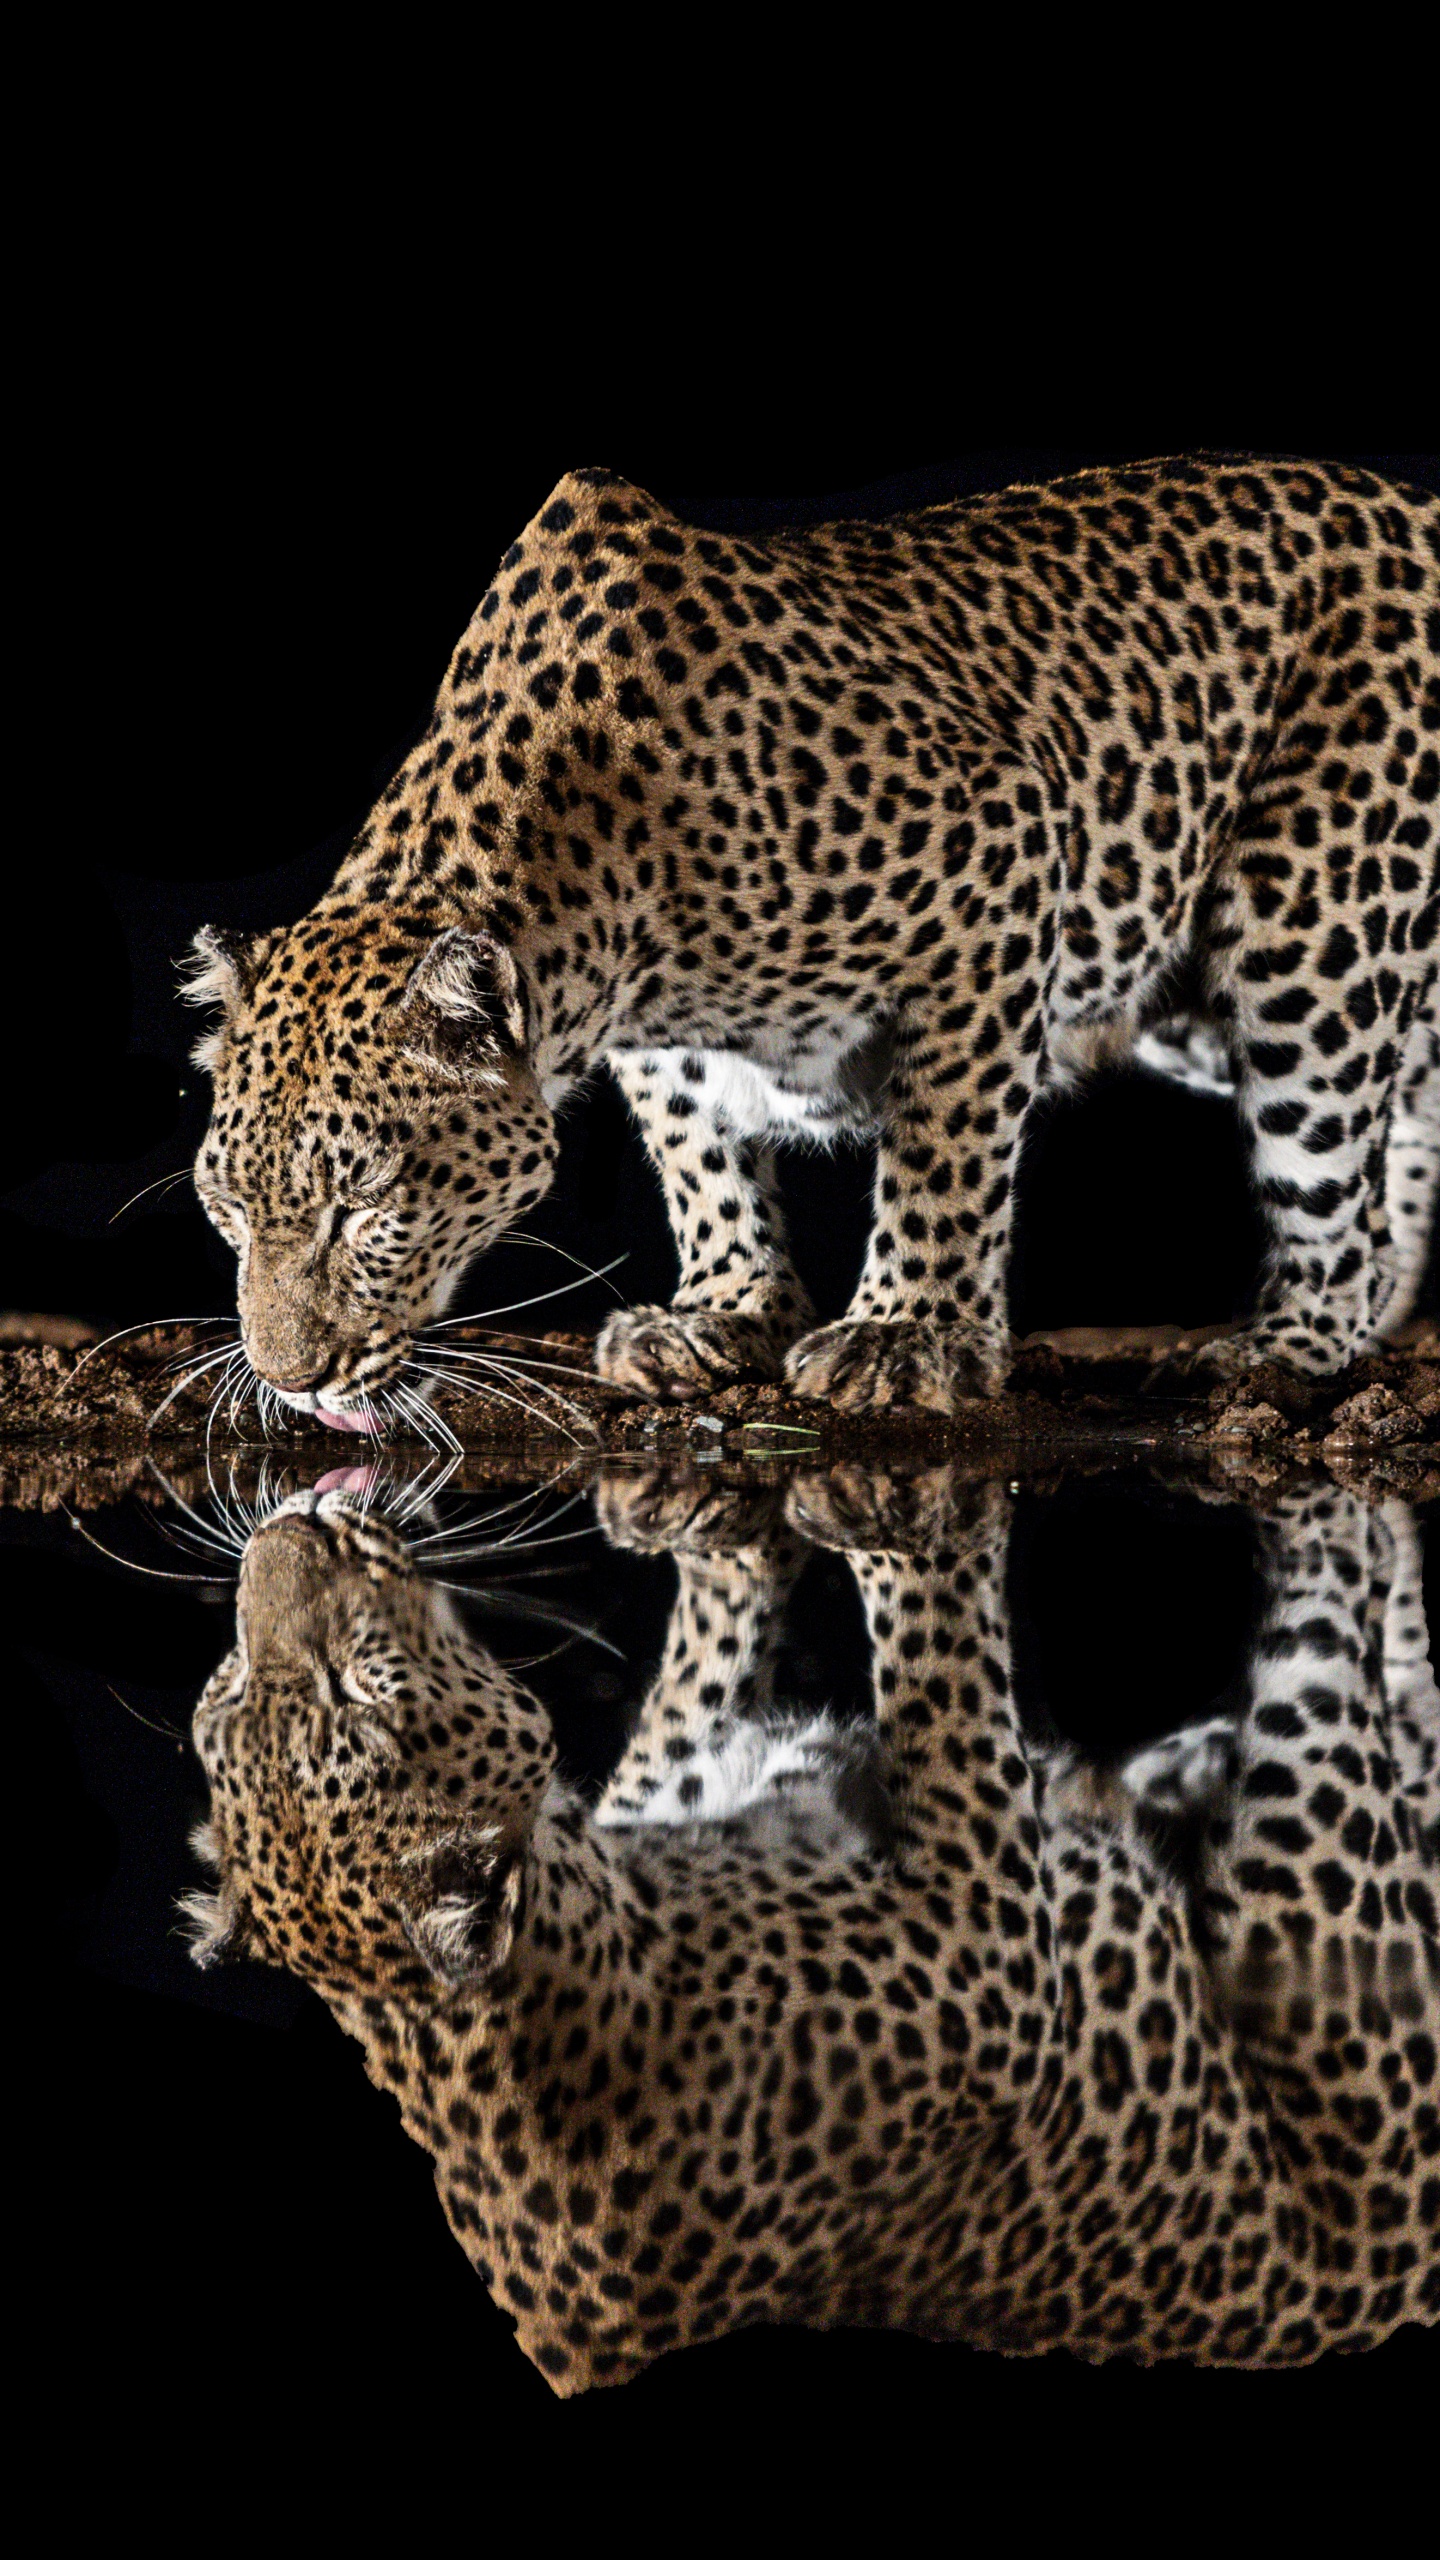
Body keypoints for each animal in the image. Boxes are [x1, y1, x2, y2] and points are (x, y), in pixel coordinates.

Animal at [183, 453, 1440, 1432]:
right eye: (229, 1208)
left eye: (366, 1207)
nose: (290, 1382)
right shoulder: (653, 1027)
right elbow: (699, 1148)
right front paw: (726, 1311)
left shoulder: (1002, 852)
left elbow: (945, 1141)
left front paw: (907, 1334)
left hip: (1306, 921)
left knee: (1329, 1172)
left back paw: (1288, 1345)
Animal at [183, 1460, 1438, 2393]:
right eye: (357, 1687)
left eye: (235, 1687)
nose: (288, 1527)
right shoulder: (994, 1942)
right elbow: (948, 1670)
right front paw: (907, 1494)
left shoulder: (669, 1773)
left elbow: (706, 1642)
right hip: (1320, 1886)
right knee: (1331, 1642)